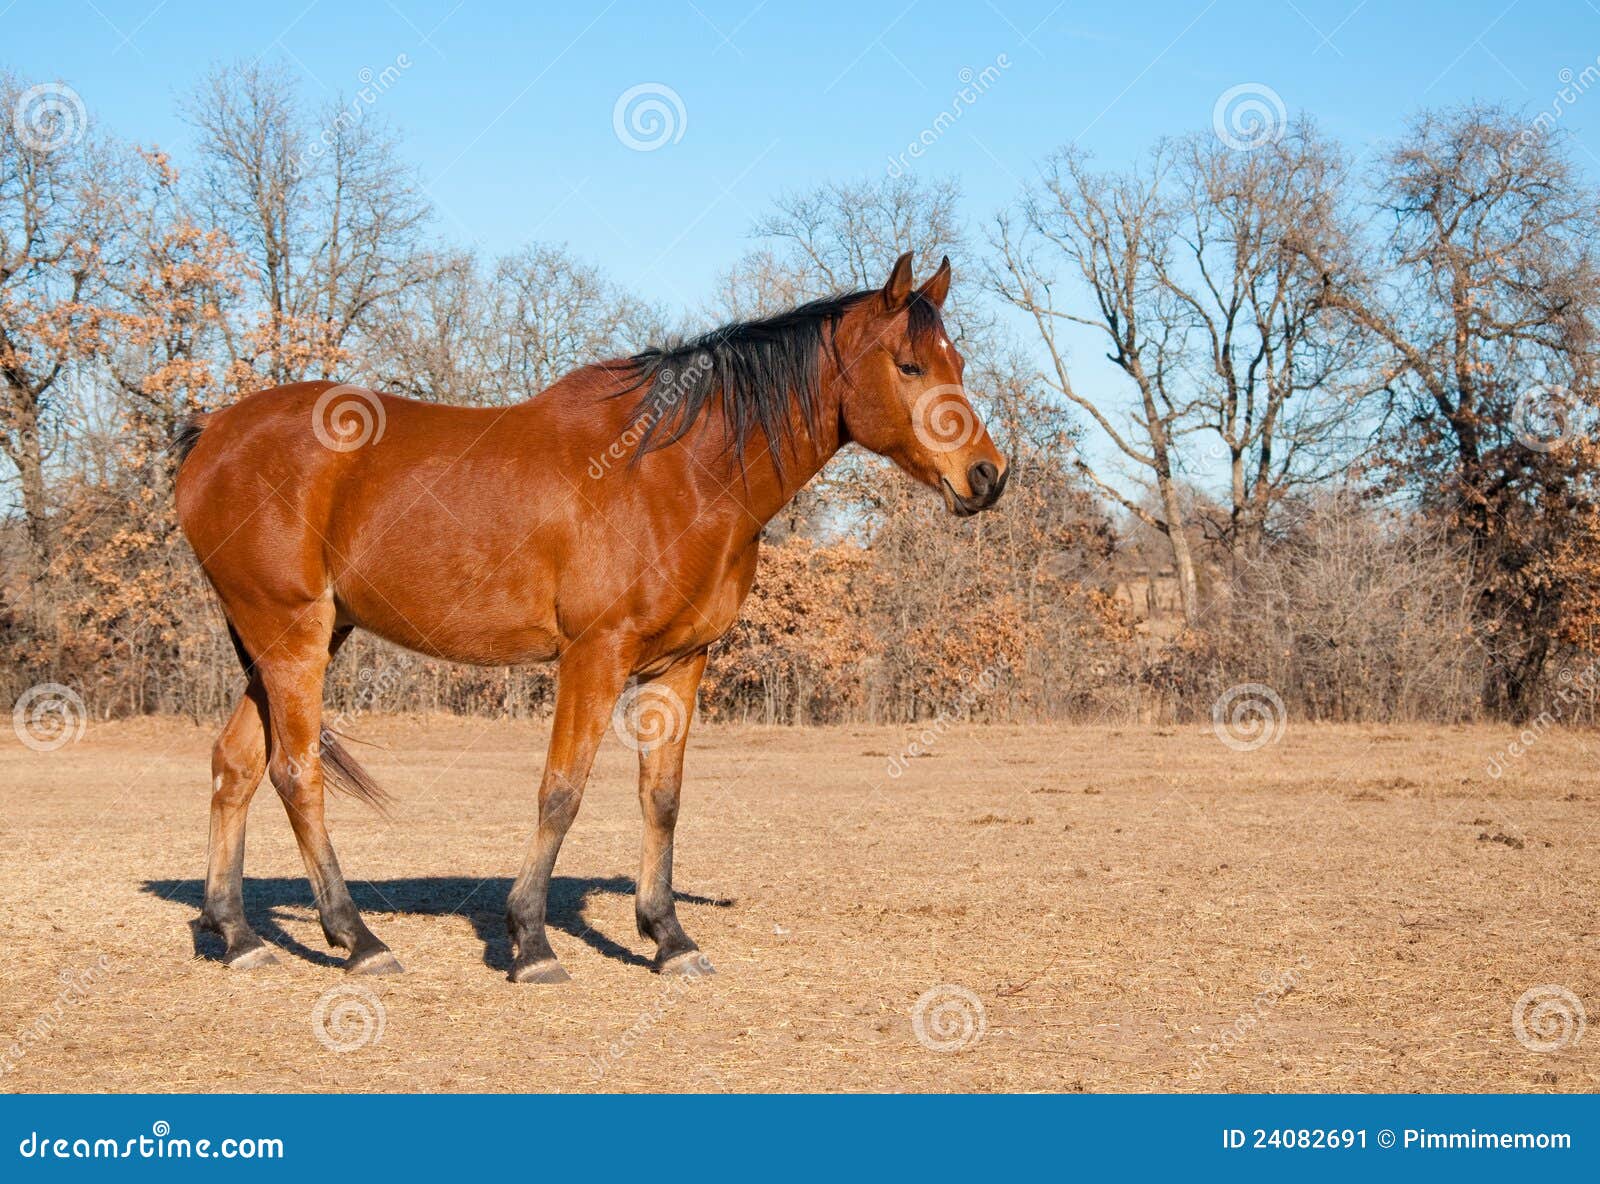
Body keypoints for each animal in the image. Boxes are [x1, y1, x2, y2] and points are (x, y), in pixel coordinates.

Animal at [174, 251, 1008, 983]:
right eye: (909, 366)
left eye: (958, 362)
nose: (988, 476)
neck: (675, 472)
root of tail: (212, 435)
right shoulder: (594, 656)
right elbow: (562, 791)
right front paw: (532, 941)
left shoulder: (681, 664)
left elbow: (662, 798)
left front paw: (669, 937)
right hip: (292, 637)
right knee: (295, 774)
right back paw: (357, 939)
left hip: (289, 643)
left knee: (235, 764)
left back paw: (239, 935)